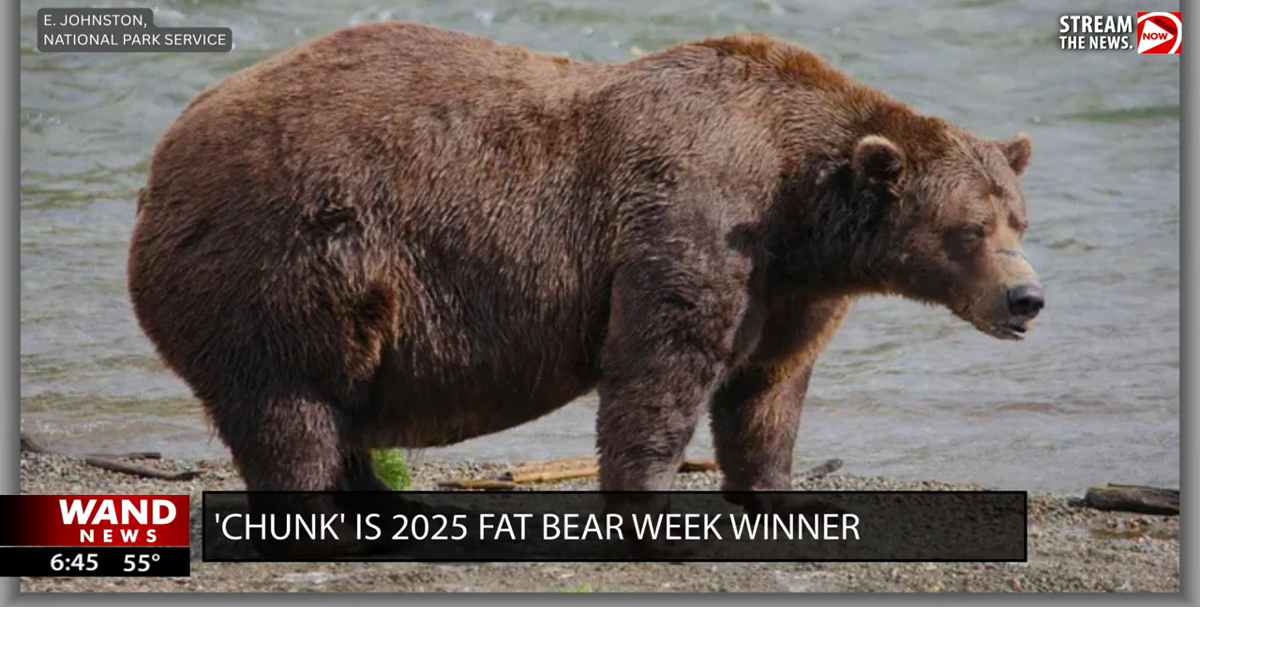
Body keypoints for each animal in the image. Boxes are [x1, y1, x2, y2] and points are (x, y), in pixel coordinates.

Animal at [127, 21, 1043, 557]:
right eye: (969, 230)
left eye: (1018, 220)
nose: (1026, 300)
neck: (799, 203)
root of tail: (163, 156)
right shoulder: (693, 214)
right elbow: (662, 365)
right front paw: (656, 518)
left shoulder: (790, 287)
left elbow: (768, 389)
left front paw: (778, 497)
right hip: (284, 258)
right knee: (291, 404)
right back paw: (325, 526)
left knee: (338, 406)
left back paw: (384, 506)